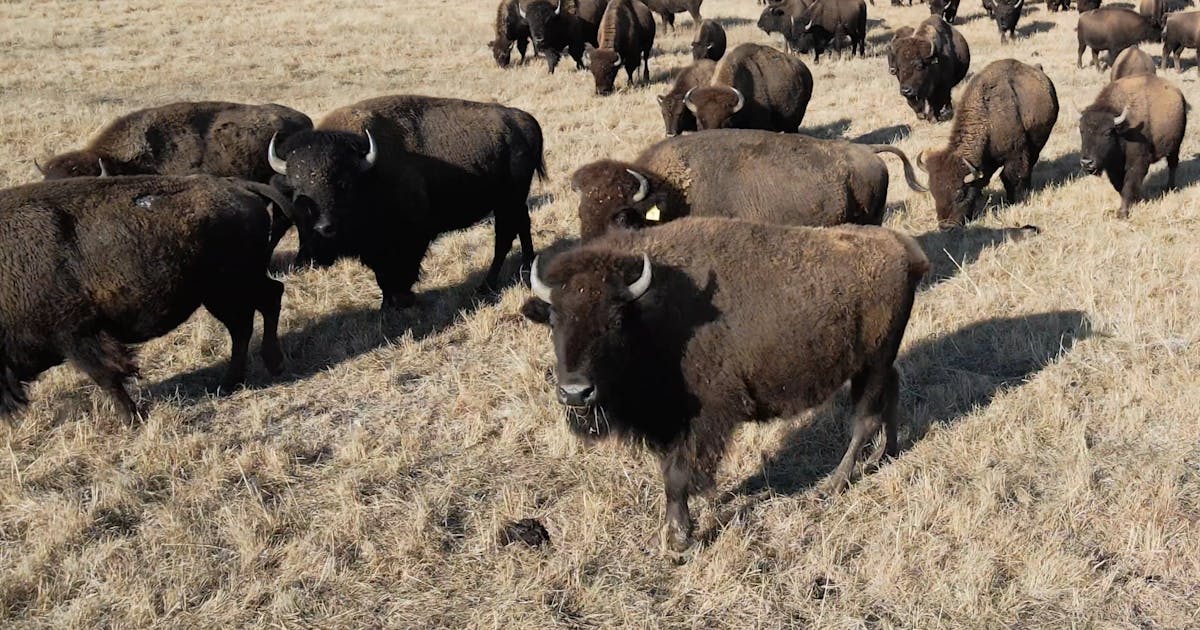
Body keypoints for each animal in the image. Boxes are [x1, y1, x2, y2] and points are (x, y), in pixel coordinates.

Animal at [0, 176, 288, 421]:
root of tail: (237, 184)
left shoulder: (77, 335)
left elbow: (107, 377)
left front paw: (131, 420)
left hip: (232, 288)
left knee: (268, 301)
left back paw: (271, 365)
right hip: (221, 295)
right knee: (247, 322)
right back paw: (231, 382)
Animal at [267, 95, 545, 308]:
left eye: (343, 184)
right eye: (297, 190)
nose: (322, 228)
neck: (367, 172)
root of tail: (524, 120)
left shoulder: (413, 237)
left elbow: (402, 269)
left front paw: (402, 300)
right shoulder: (375, 247)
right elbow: (382, 275)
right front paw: (386, 304)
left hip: (508, 201)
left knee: (504, 237)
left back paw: (487, 285)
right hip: (512, 202)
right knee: (522, 226)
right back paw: (525, 268)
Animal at [522, 217, 929, 556]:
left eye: (616, 319)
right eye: (554, 319)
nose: (575, 392)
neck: (654, 310)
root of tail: (904, 248)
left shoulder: (699, 421)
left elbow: (678, 476)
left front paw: (679, 541)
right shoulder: (669, 424)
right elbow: (669, 475)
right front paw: (669, 535)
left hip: (871, 364)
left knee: (863, 421)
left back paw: (832, 485)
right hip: (877, 364)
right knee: (891, 392)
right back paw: (885, 455)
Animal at [917, 60, 1059, 229]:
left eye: (960, 194)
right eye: (934, 193)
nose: (946, 227)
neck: (988, 120)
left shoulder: (1016, 154)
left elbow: (1010, 177)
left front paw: (1014, 201)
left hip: (1039, 142)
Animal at [1078, 74, 1187, 218]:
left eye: (1107, 133)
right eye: (1081, 130)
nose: (1087, 162)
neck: (1123, 130)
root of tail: (1179, 94)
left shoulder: (1137, 163)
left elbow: (1128, 185)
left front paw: (1122, 213)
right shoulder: (1113, 168)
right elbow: (1119, 186)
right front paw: (1136, 201)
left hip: (1175, 146)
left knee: (1172, 164)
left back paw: (1170, 187)